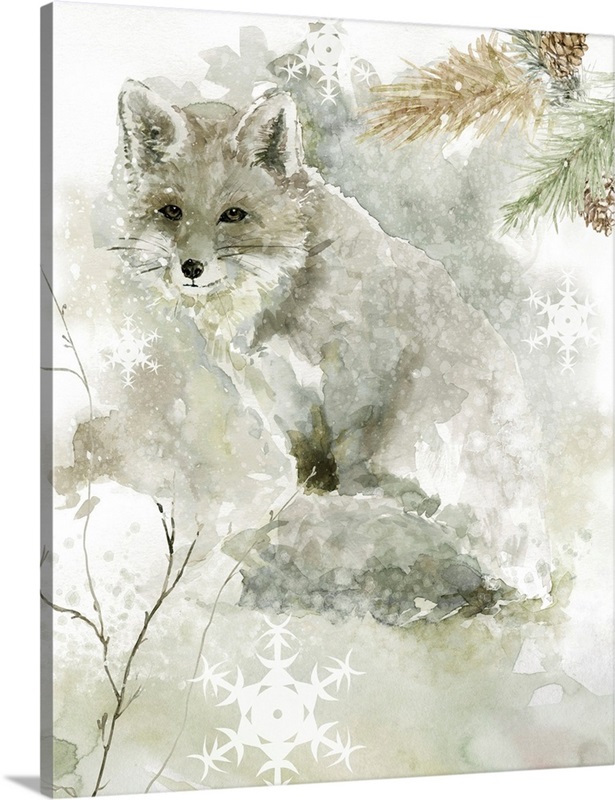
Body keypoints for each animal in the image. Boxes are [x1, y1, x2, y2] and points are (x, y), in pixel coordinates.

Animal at [109, 79, 552, 601]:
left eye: (233, 214)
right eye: (171, 212)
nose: (191, 268)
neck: (278, 293)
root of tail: (531, 573)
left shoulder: (358, 378)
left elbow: (348, 466)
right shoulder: (278, 393)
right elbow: (313, 472)